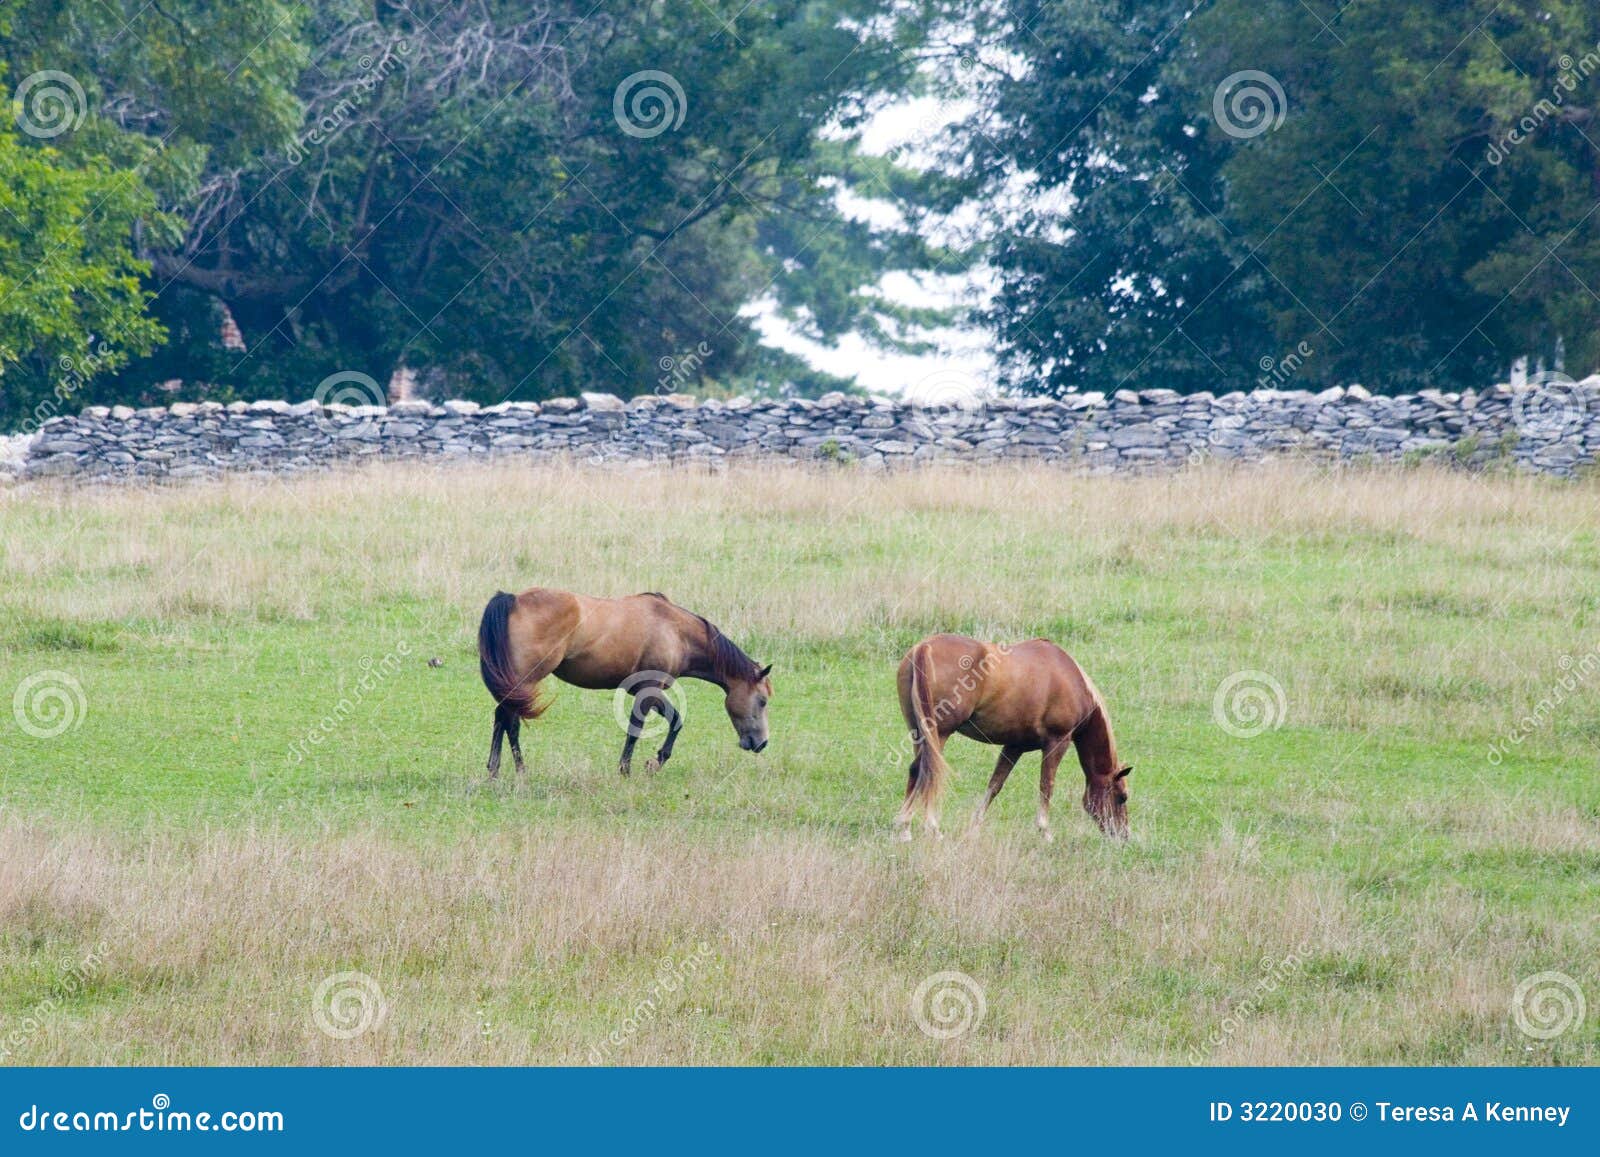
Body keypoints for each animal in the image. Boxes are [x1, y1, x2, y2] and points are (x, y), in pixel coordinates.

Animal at [476, 587, 772, 780]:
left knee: (502, 718)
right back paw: (517, 770)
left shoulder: (650, 690)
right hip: (524, 680)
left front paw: (656, 762)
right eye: (762, 700)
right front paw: (626, 769)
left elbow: (675, 720)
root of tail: (513, 599)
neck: (675, 629)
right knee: (509, 721)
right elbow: (635, 729)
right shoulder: (648, 690)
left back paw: (496, 770)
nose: (761, 743)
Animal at [893, 634, 1131, 841]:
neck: (1071, 679)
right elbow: (1047, 785)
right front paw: (1045, 831)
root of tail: (925, 647)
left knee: (917, 772)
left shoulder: (1014, 746)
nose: (1123, 837)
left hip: (920, 735)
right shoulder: (1058, 742)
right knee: (927, 772)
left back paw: (905, 829)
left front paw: (974, 829)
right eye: (1122, 797)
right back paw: (930, 827)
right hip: (939, 735)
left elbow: (995, 785)